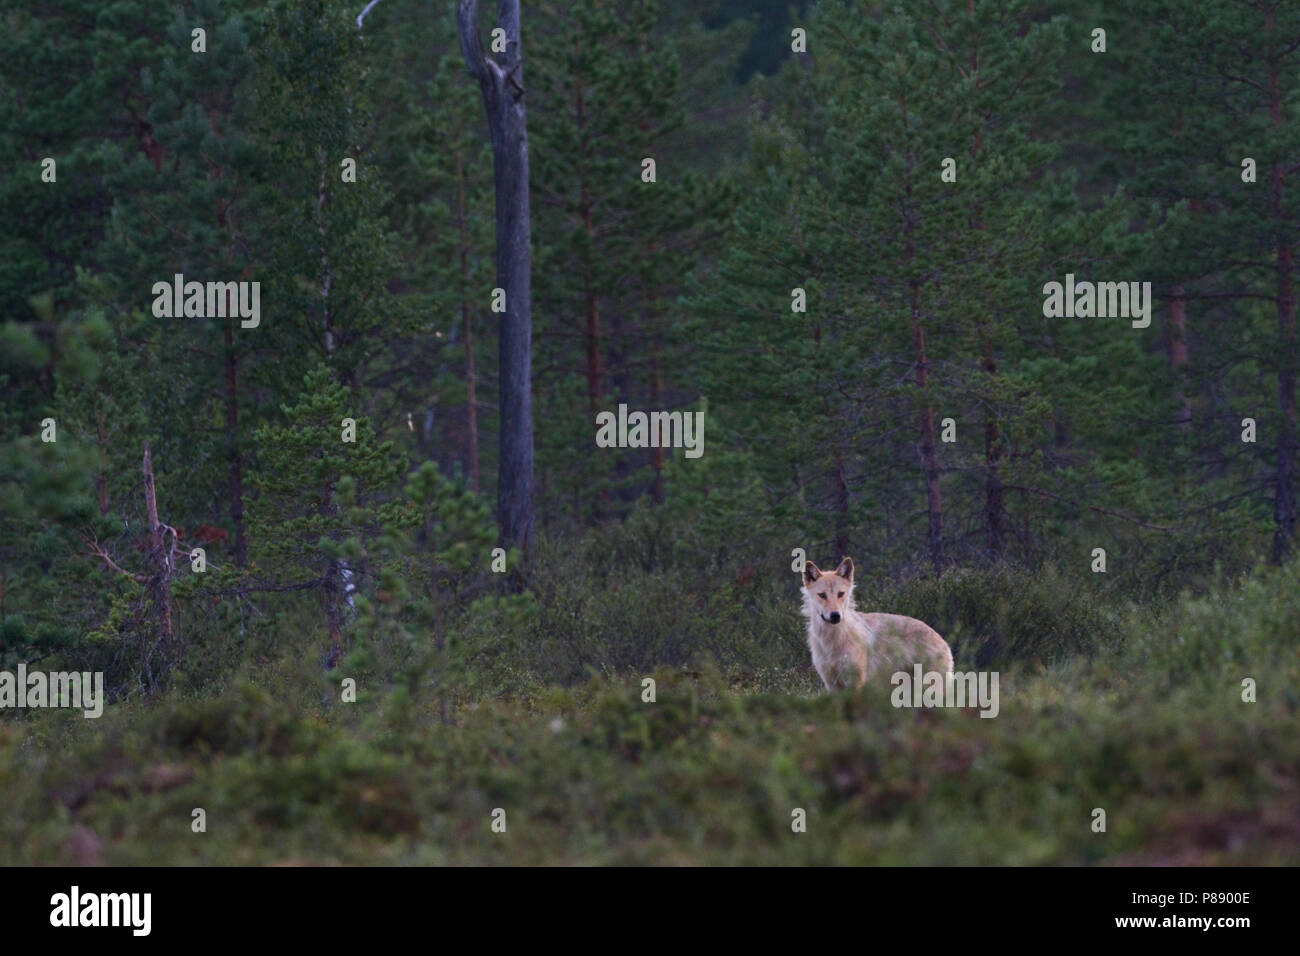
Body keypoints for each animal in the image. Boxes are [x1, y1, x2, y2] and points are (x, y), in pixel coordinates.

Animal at [801, 556, 953, 691]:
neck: (832, 641)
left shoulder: (856, 683)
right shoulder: (831, 685)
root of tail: (942, 640)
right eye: (822, 595)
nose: (835, 615)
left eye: (840, 594)